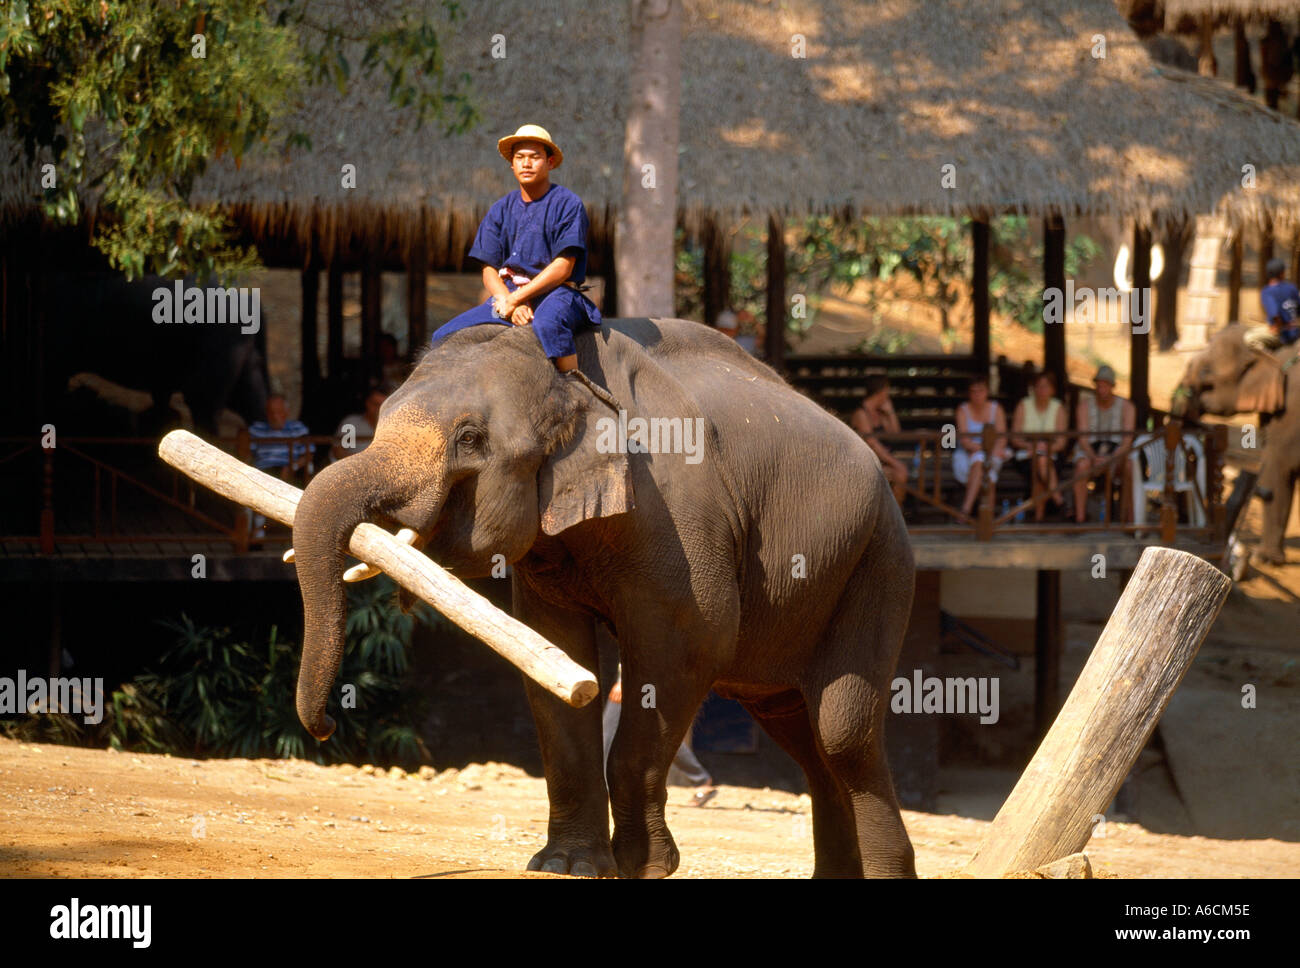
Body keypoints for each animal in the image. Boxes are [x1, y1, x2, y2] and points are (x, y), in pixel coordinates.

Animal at [290, 317, 917, 878]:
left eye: (470, 439)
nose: (326, 726)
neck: (570, 380)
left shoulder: (676, 518)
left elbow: (691, 646)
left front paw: (645, 866)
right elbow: (557, 657)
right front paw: (566, 866)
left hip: (878, 561)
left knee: (841, 734)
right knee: (800, 734)